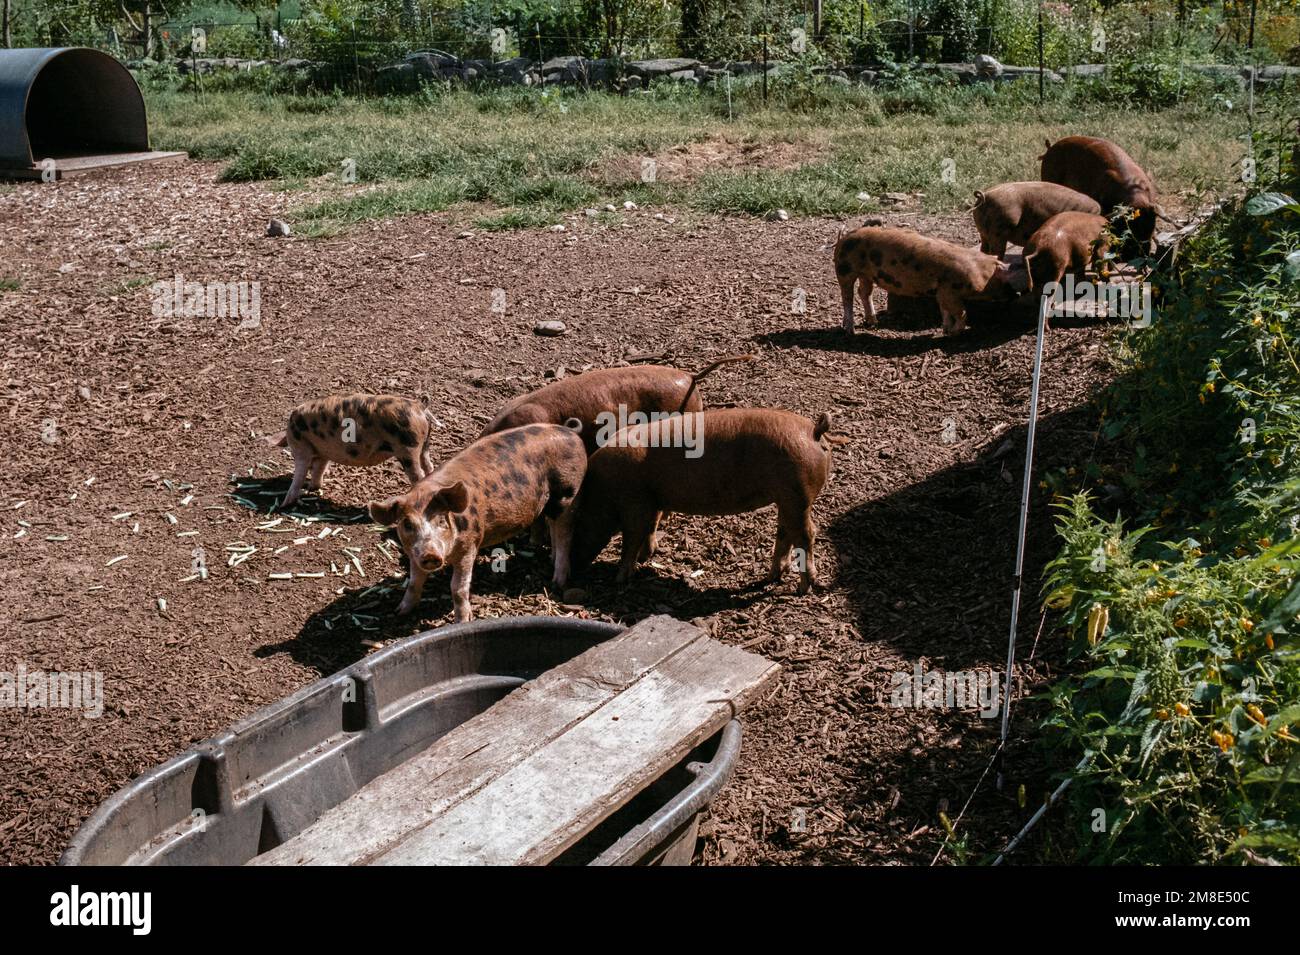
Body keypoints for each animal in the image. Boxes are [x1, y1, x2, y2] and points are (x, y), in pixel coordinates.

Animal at [266, 394, 438, 507]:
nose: (282, 505)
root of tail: (420, 406)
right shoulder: (323, 454)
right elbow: (319, 470)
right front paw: (313, 487)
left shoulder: (301, 448)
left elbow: (300, 473)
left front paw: (285, 503)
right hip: (424, 445)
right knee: (429, 467)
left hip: (408, 448)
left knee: (418, 475)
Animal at [368, 424, 587, 622]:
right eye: (407, 524)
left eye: (441, 519)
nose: (430, 555)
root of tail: (571, 432)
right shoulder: (414, 553)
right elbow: (413, 582)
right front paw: (399, 611)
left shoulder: (470, 545)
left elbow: (458, 588)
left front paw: (462, 621)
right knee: (552, 525)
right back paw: (550, 558)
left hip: (568, 493)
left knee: (564, 532)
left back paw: (558, 582)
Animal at [570, 408, 847, 593]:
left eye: (580, 526)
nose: (574, 569)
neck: (603, 489)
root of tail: (814, 431)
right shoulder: (651, 502)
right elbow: (650, 528)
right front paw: (645, 557)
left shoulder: (634, 502)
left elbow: (632, 536)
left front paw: (619, 578)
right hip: (787, 498)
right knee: (786, 532)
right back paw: (772, 577)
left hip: (798, 495)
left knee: (807, 533)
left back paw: (801, 588)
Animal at [834, 225, 1027, 336]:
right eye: (1006, 281)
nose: (1017, 294)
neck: (980, 271)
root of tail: (844, 237)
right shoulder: (949, 291)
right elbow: (962, 312)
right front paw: (954, 333)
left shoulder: (941, 292)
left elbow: (944, 310)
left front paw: (946, 330)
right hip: (845, 269)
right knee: (847, 296)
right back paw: (850, 330)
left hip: (866, 274)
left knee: (864, 292)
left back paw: (873, 323)